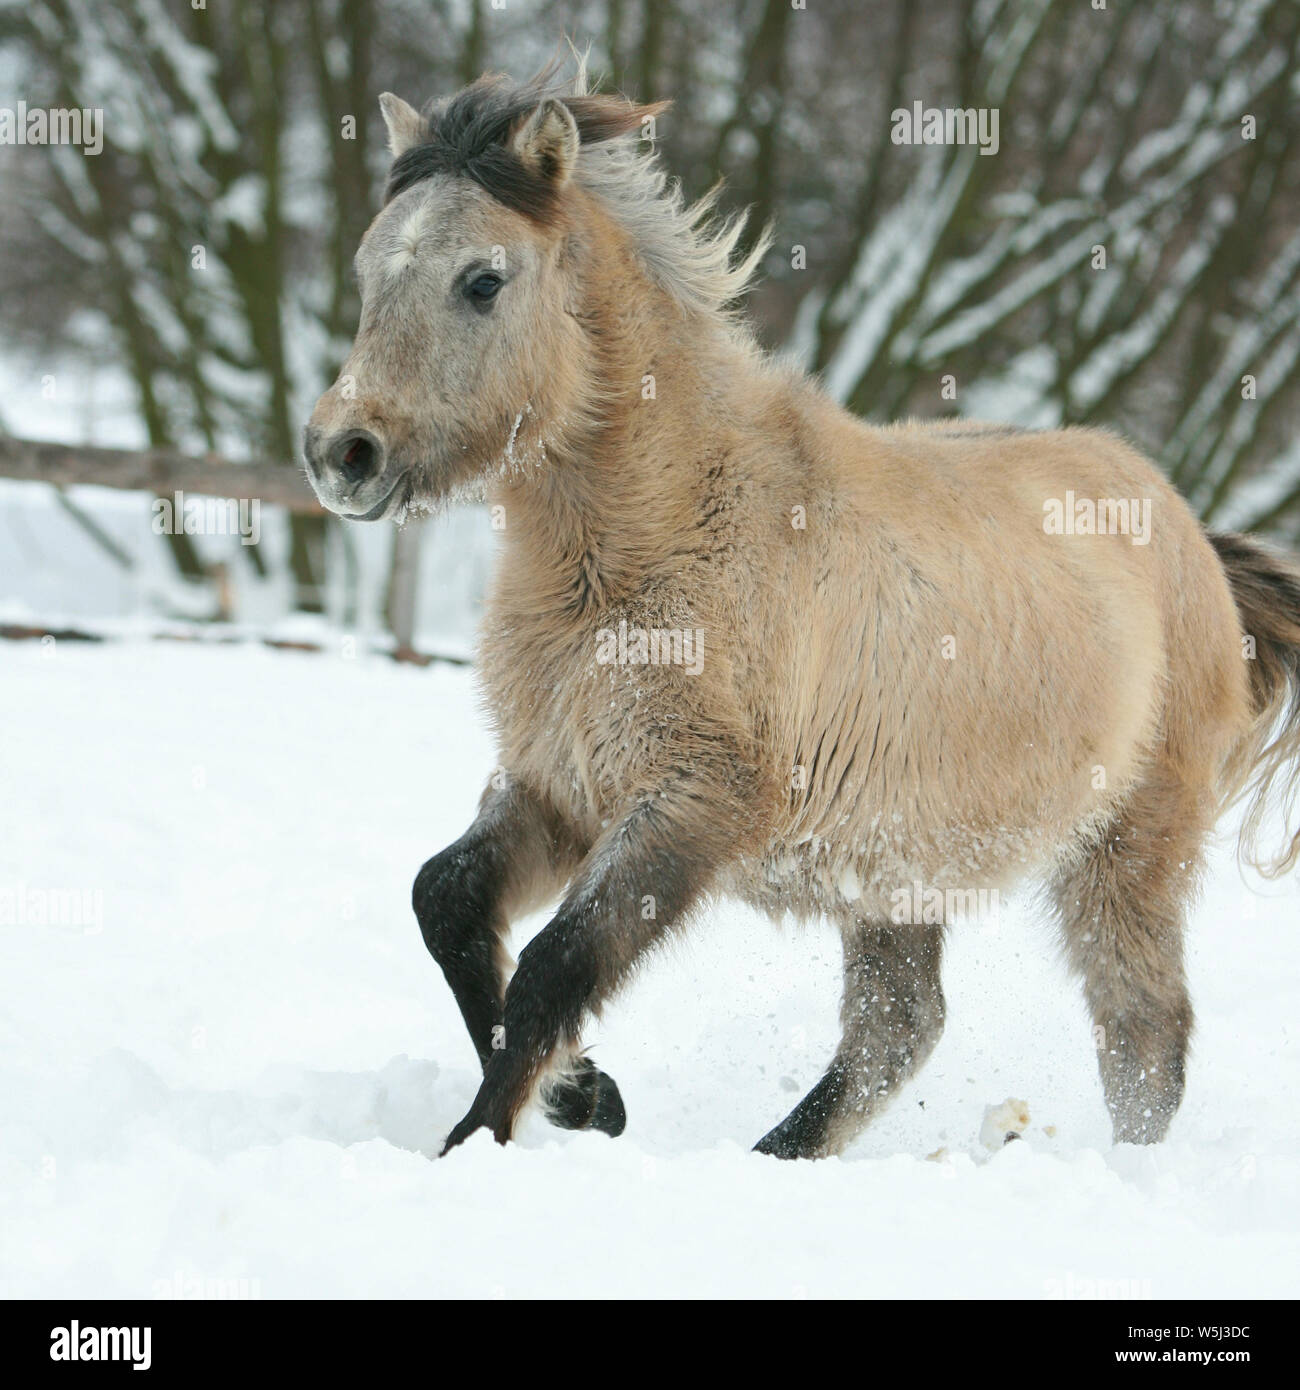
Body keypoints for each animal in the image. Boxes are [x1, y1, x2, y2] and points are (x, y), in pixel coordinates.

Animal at [303, 60, 1300, 1159]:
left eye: (483, 280)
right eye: (368, 272)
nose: (343, 453)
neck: (660, 534)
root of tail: (1195, 544)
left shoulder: (690, 805)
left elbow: (555, 967)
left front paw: (482, 1140)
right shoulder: (561, 786)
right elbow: (445, 900)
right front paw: (585, 1093)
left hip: (1127, 851)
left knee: (1141, 1034)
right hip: (902, 872)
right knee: (898, 1028)